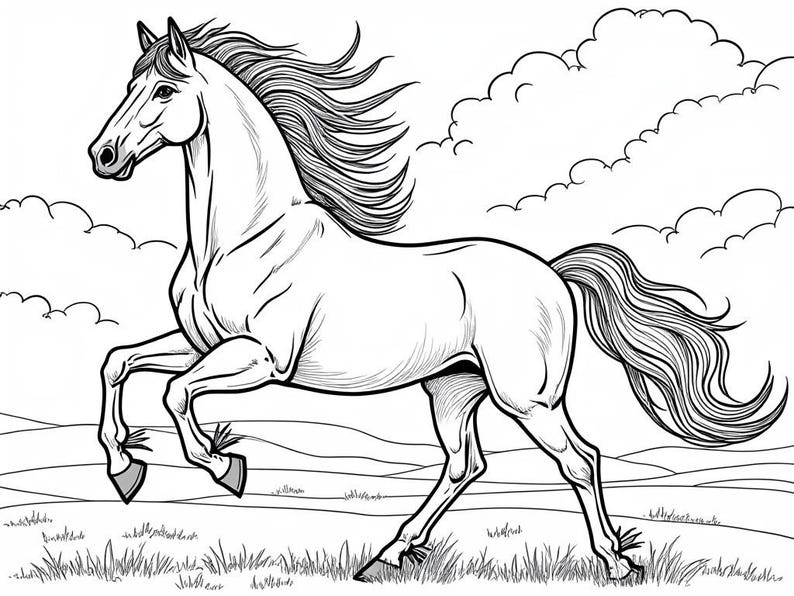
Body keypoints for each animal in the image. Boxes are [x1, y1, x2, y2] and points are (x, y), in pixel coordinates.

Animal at [88, 18, 786, 582]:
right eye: (128, 83)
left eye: (165, 90)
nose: (103, 156)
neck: (242, 238)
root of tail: (554, 275)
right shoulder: (200, 343)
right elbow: (120, 364)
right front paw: (126, 470)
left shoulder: (260, 357)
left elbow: (177, 394)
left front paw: (223, 465)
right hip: (453, 389)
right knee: (464, 464)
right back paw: (387, 555)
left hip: (527, 398)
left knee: (579, 460)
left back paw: (614, 563)